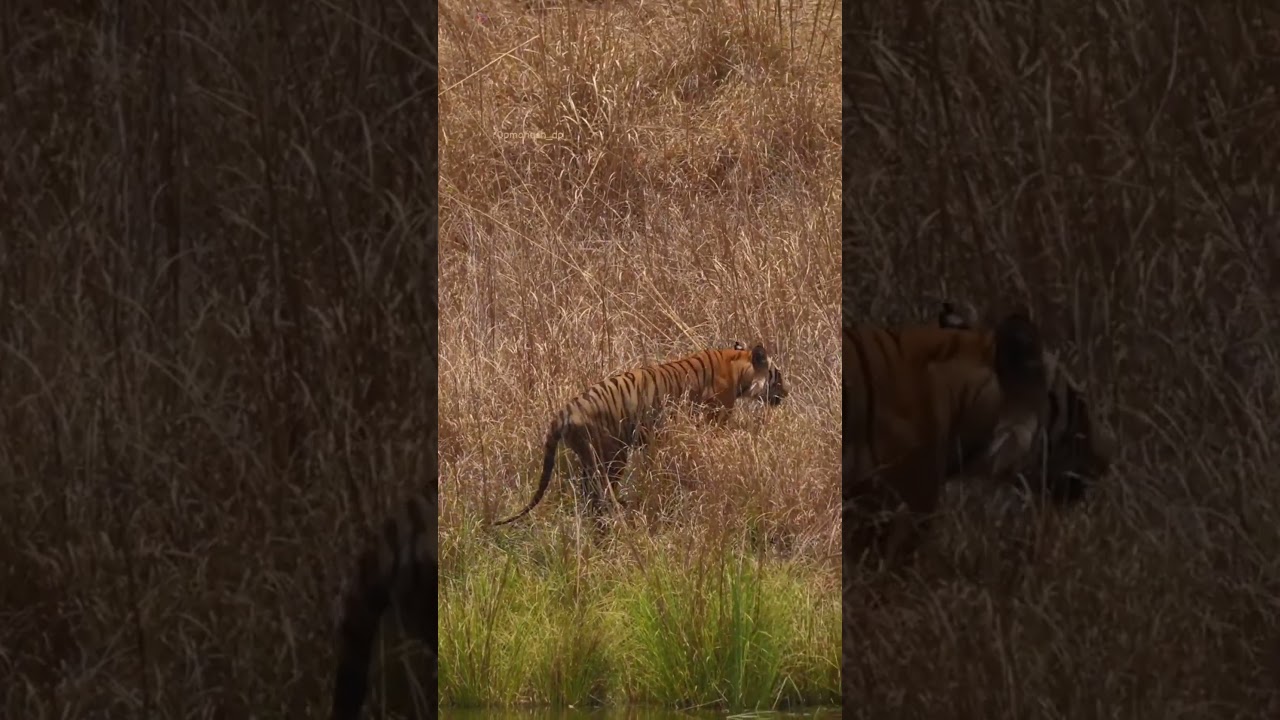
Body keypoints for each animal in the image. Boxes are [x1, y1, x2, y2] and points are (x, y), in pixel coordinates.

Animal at [492, 341, 789, 527]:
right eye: (779, 376)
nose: (787, 393)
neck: (738, 366)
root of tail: (563, 412)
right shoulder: (716, 419)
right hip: (611, 453)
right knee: (600, 492)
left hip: (589, 456)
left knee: (587, 492)